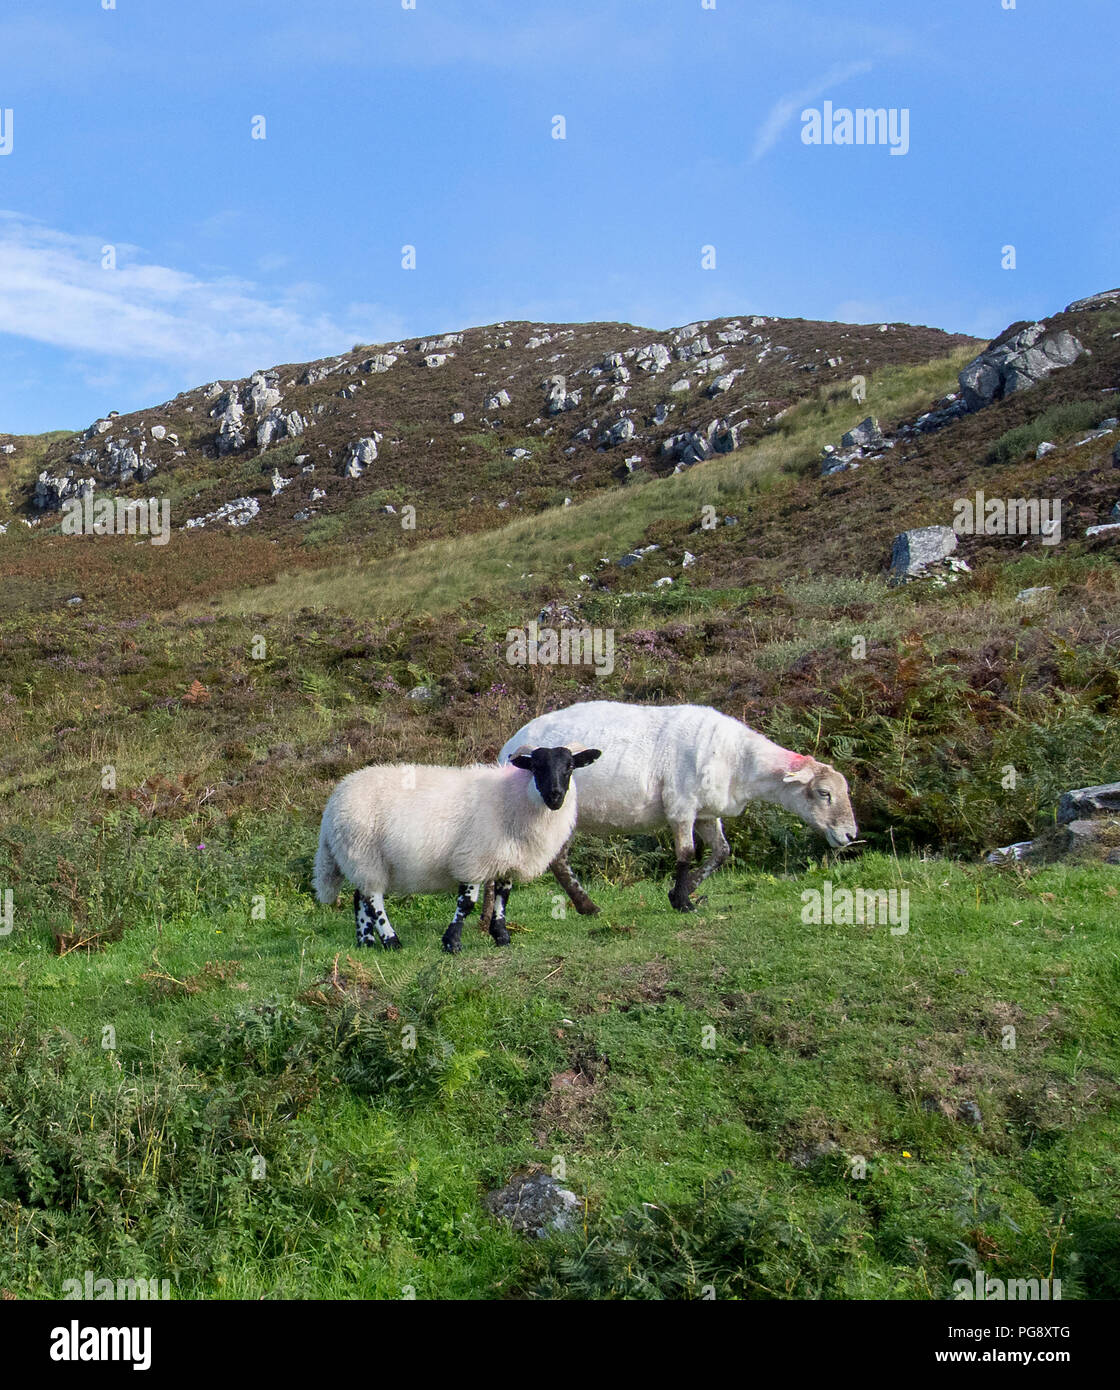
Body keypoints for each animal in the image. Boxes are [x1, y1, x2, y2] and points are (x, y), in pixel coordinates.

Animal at [313, 744, 602, 953]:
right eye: (536, 766)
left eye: (570, 766)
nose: (555, 796)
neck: (512, 798)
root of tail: (336, 798)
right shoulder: (473, 858)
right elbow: (467, 903)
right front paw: (452, 943)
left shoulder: (506, 859)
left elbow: (502, 898)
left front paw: (502, 937)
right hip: (363, 853)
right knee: (373, 900)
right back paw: (391, 941)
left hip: (362, 858)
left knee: (359, 896)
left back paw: (366, 942)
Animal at [496, 701, 857, 914]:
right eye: (823, 793)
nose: (850, 835)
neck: (739, 760)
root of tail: (509, 746)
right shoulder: (681, 805)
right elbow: (686, 853)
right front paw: (683, 902)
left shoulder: (707, 811)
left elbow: (721, 852)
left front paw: (684, 893)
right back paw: (585, 904)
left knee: (558, 859)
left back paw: (586, 906)